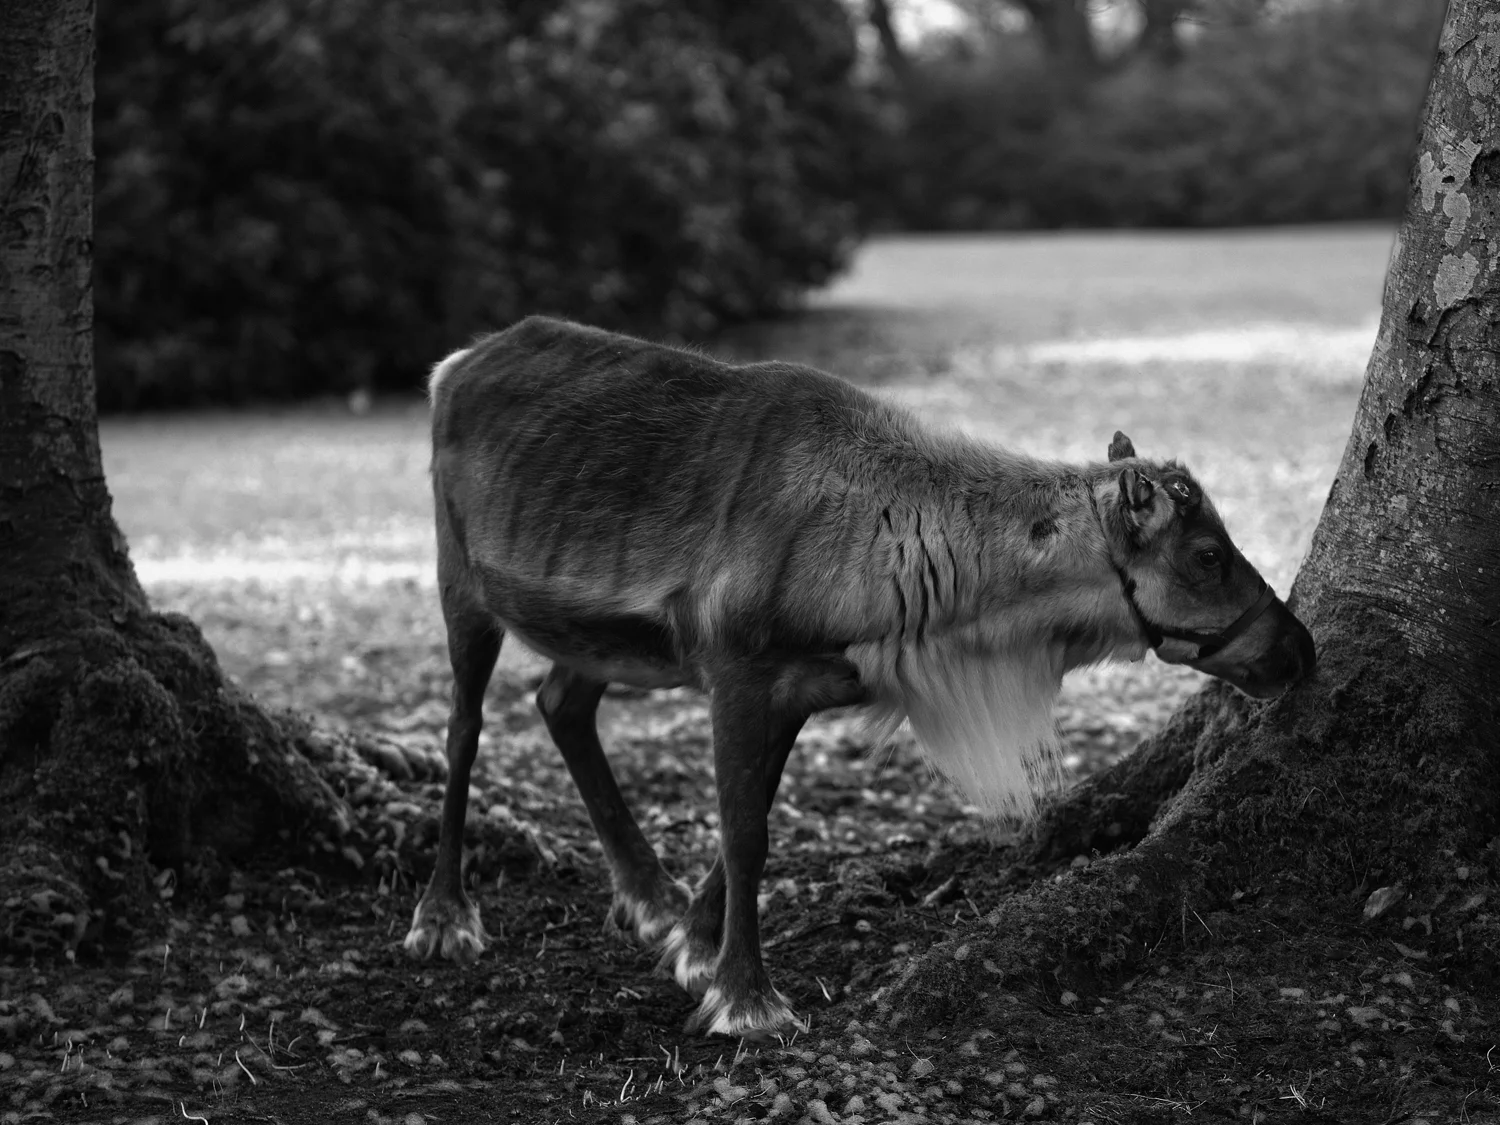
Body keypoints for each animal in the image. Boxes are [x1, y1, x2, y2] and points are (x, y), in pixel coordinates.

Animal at [404, 315, 1316, 1039]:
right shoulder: (737, 668)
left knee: (559, 701)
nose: (1300, 648)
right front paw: (746, 999)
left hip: (596, 637)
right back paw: (444, 916)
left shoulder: (805, 684)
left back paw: (648, 893)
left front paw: (692, 945)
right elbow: (746, 833)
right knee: (464, 730)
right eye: (1209, 554)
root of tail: (453, 362)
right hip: (461, 581)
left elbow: (752, 817)